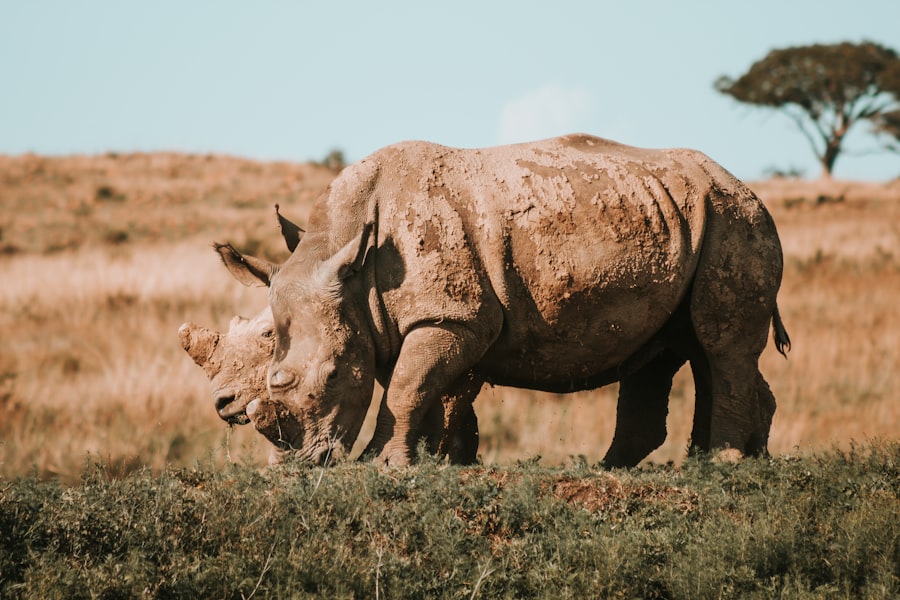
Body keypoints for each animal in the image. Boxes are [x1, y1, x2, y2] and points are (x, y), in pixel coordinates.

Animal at [219, 134, 790, 467]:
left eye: (334, 375)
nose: (300, 464)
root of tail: (745, 186)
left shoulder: (452, 317)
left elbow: (406, 388)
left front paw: (380, 466)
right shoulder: (393, 321)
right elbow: (421, 389)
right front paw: (432, 464)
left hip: (734, 220)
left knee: (719, 344)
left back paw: (722, 464)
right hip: (684, 217)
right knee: (681, 346)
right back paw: (689, 464)